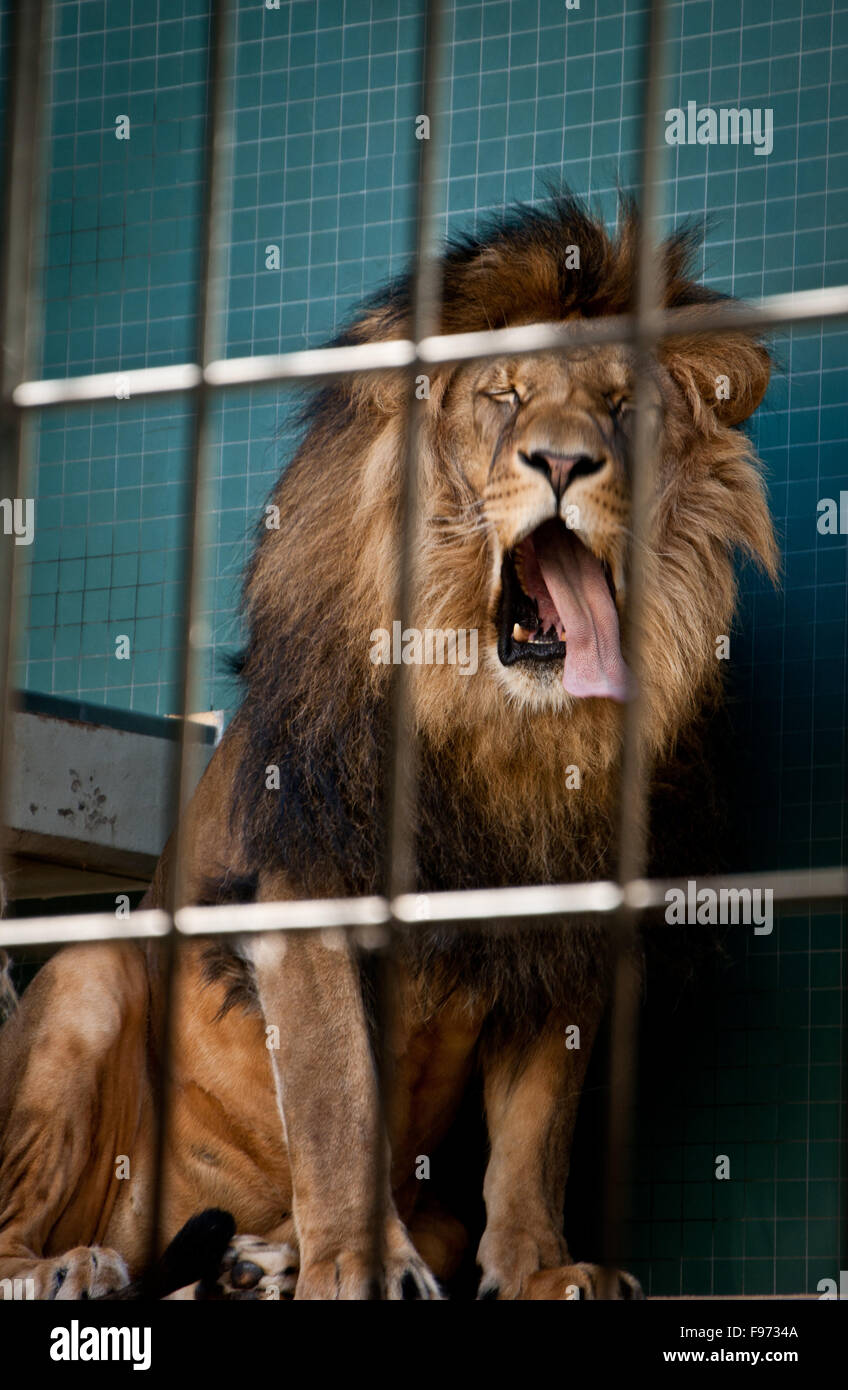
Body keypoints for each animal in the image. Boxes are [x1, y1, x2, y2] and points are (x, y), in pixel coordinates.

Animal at [0, 194, 777, 1300]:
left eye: (622, 408)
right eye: (505, 396)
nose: (562, 463)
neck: (499, 731)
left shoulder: (559, 927)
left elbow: (534, 1135)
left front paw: (543, 1270)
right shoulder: (307, 890)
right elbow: (339, 1099)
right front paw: (358, 1265)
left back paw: (253, 1261)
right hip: (89, 975)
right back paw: (76, 1266)